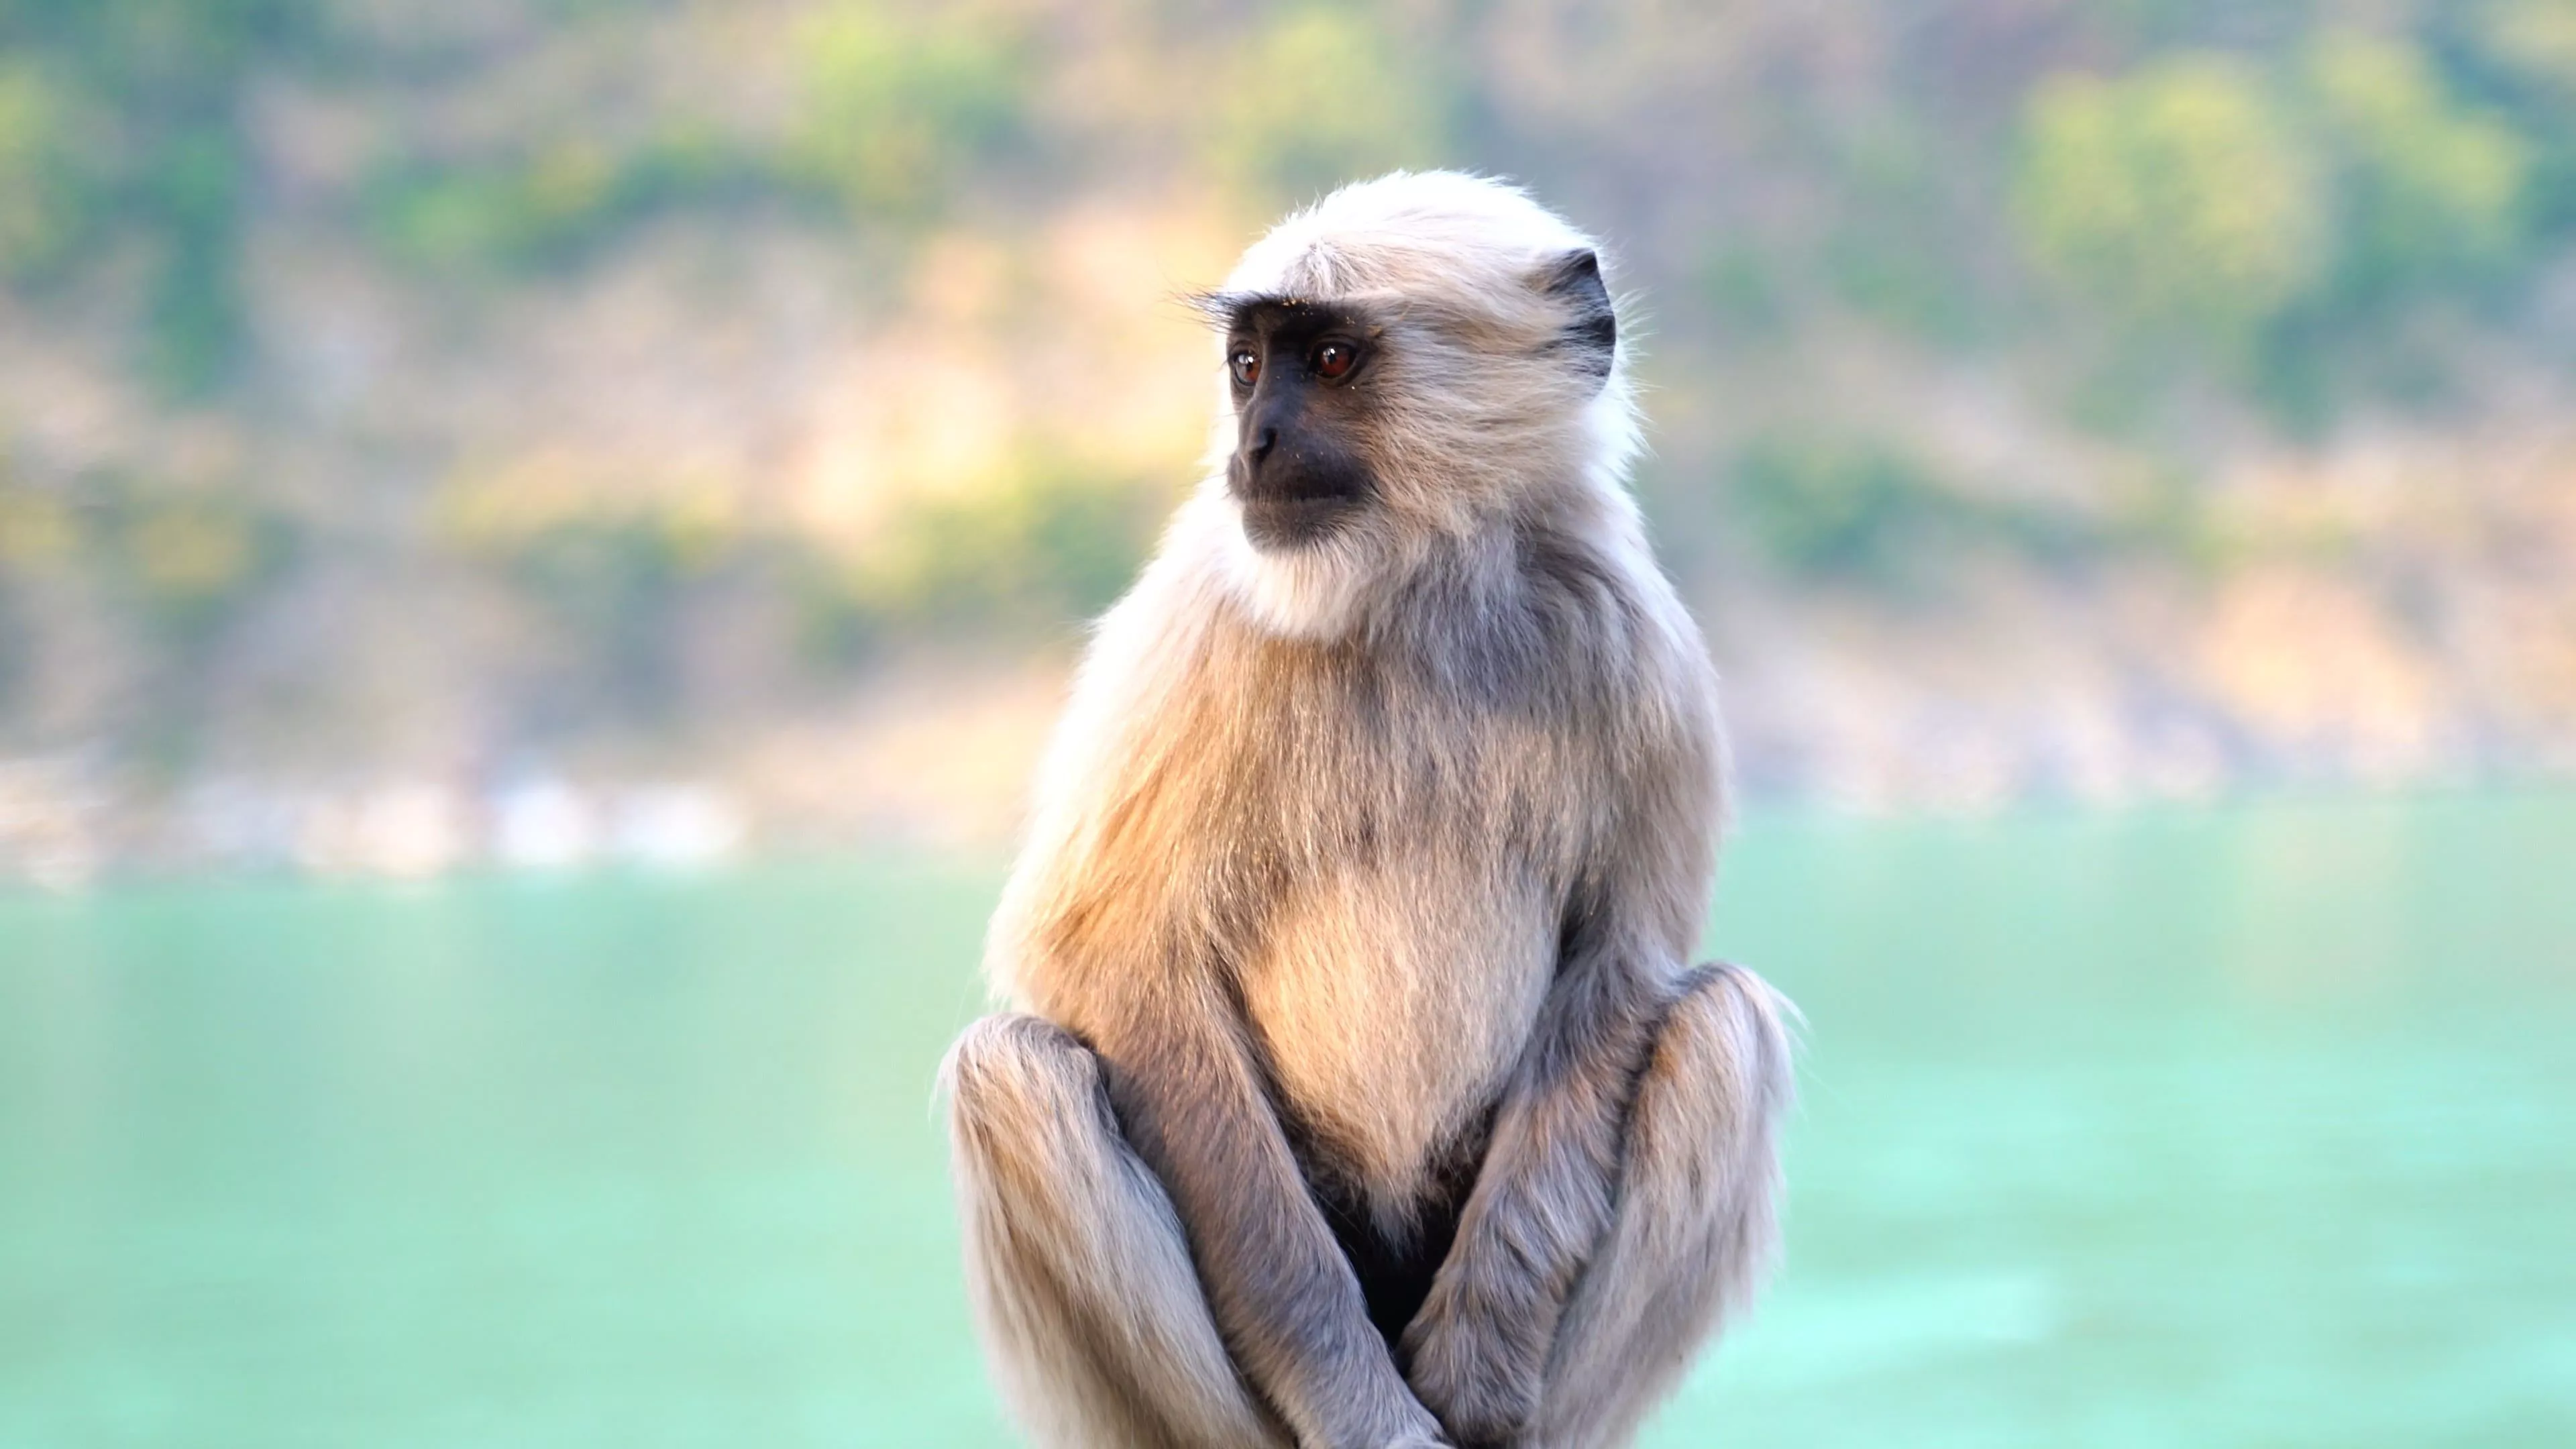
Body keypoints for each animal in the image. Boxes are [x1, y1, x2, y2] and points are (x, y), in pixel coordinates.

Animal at [940, 172, 1796, 1449]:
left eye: (1334, 359)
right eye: (1250, 365)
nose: (1255, 442)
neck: (1413, 590)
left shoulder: (1633, 639)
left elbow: (1618, 964)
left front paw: (1479, 1377)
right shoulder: (1206, 616)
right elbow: (1104, 954)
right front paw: (1366, 1416)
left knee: (1718, 1028)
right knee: (1017, 1073)